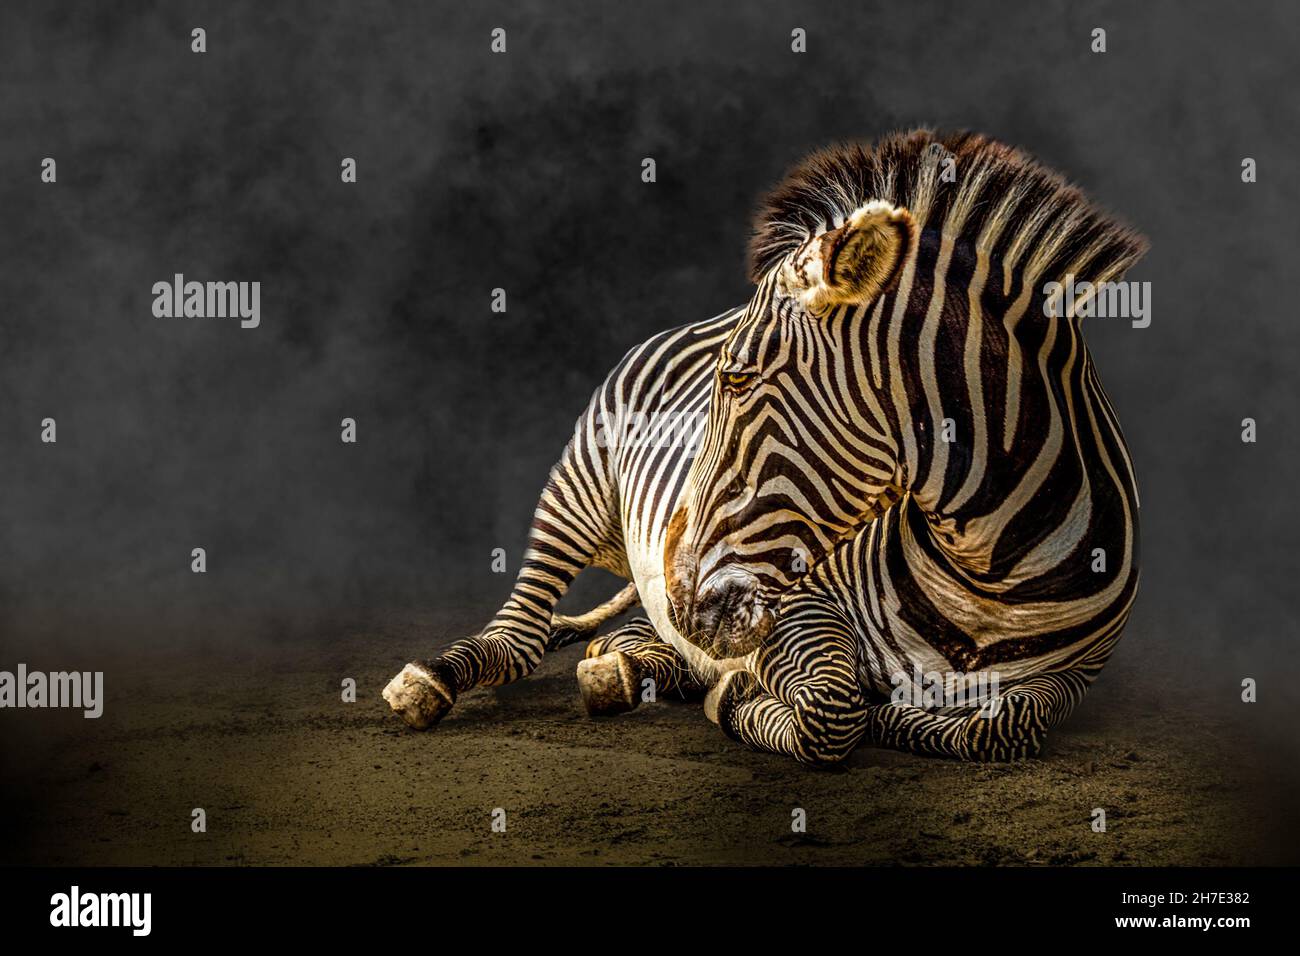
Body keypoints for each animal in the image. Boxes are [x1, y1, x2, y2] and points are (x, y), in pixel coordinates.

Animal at [385, 129, 1146, 764]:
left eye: (737, 378)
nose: (682, 590)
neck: (987, 578)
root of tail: (699, 318)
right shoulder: (800, 607)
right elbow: (835, 710)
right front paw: (741, 699)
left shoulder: (1070, 677)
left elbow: (1005, 725)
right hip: (579, 488)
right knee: (520, 629)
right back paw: (436, 678)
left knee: (635, 638)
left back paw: (624, 664)